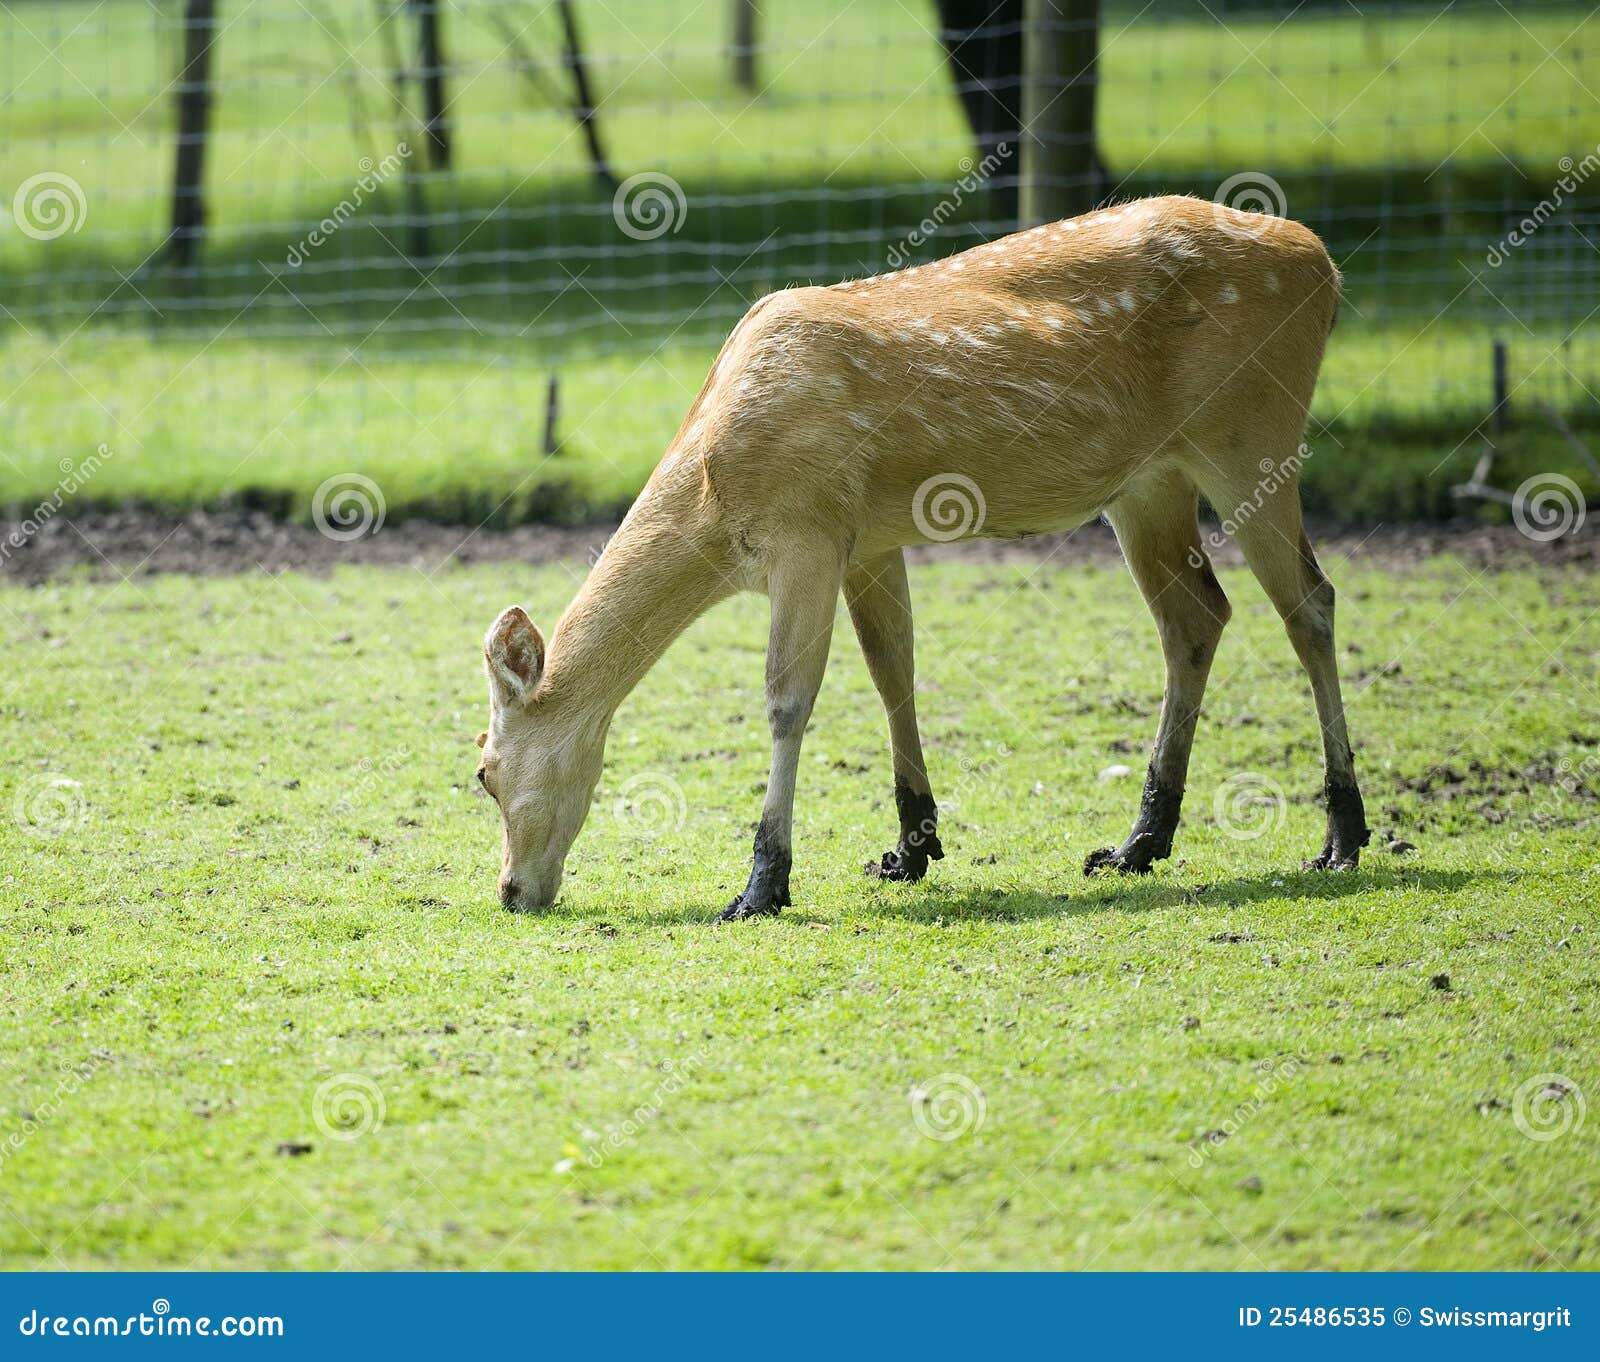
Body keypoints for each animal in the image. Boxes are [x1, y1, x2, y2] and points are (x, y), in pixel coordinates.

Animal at [476, 194, 1369, 921]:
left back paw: (1342, 834)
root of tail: (1324, 263)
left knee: (1310, 602)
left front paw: (762, 886)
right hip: (1150, 482)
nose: (512, 892)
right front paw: (910, 850)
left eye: (482, 770)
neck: (714, 495)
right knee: (1196, 616)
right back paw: (1136, 844)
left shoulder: (807, 531)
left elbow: (787, 699)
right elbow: (892, 669)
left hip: (1253, 435)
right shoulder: (868, 539)